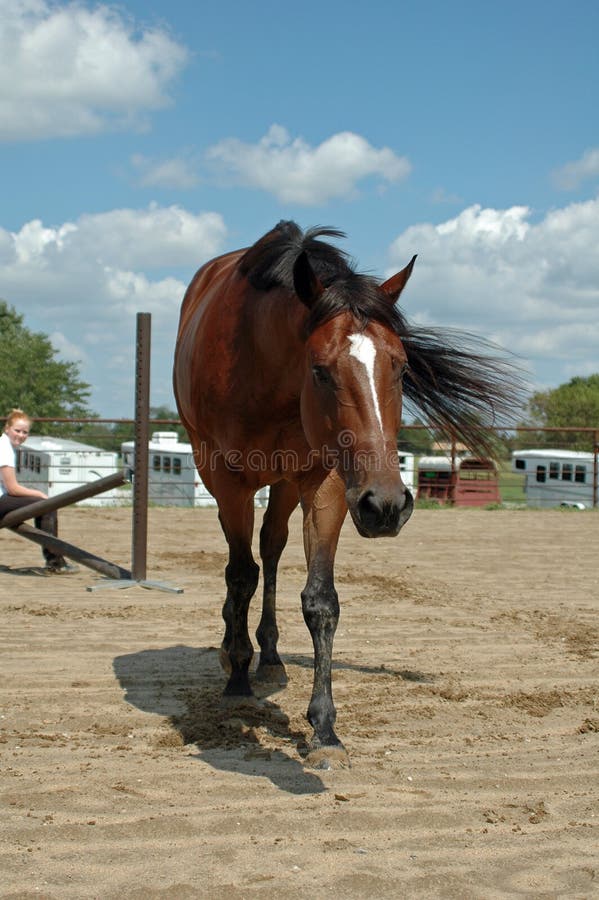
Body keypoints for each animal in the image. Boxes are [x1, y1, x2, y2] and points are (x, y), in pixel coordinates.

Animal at [173, 221, 519, 768]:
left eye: (401, 367)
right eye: (320, 369)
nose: (387, 506)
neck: (260, 367)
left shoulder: (327, 483)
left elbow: (320, 601)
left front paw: (324, 727)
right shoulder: (227, 481)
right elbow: (240, 576)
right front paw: (236, 679)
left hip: (286, 485)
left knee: (271, 549)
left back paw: (270, 658)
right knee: (243, 564)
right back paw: (237, 655)